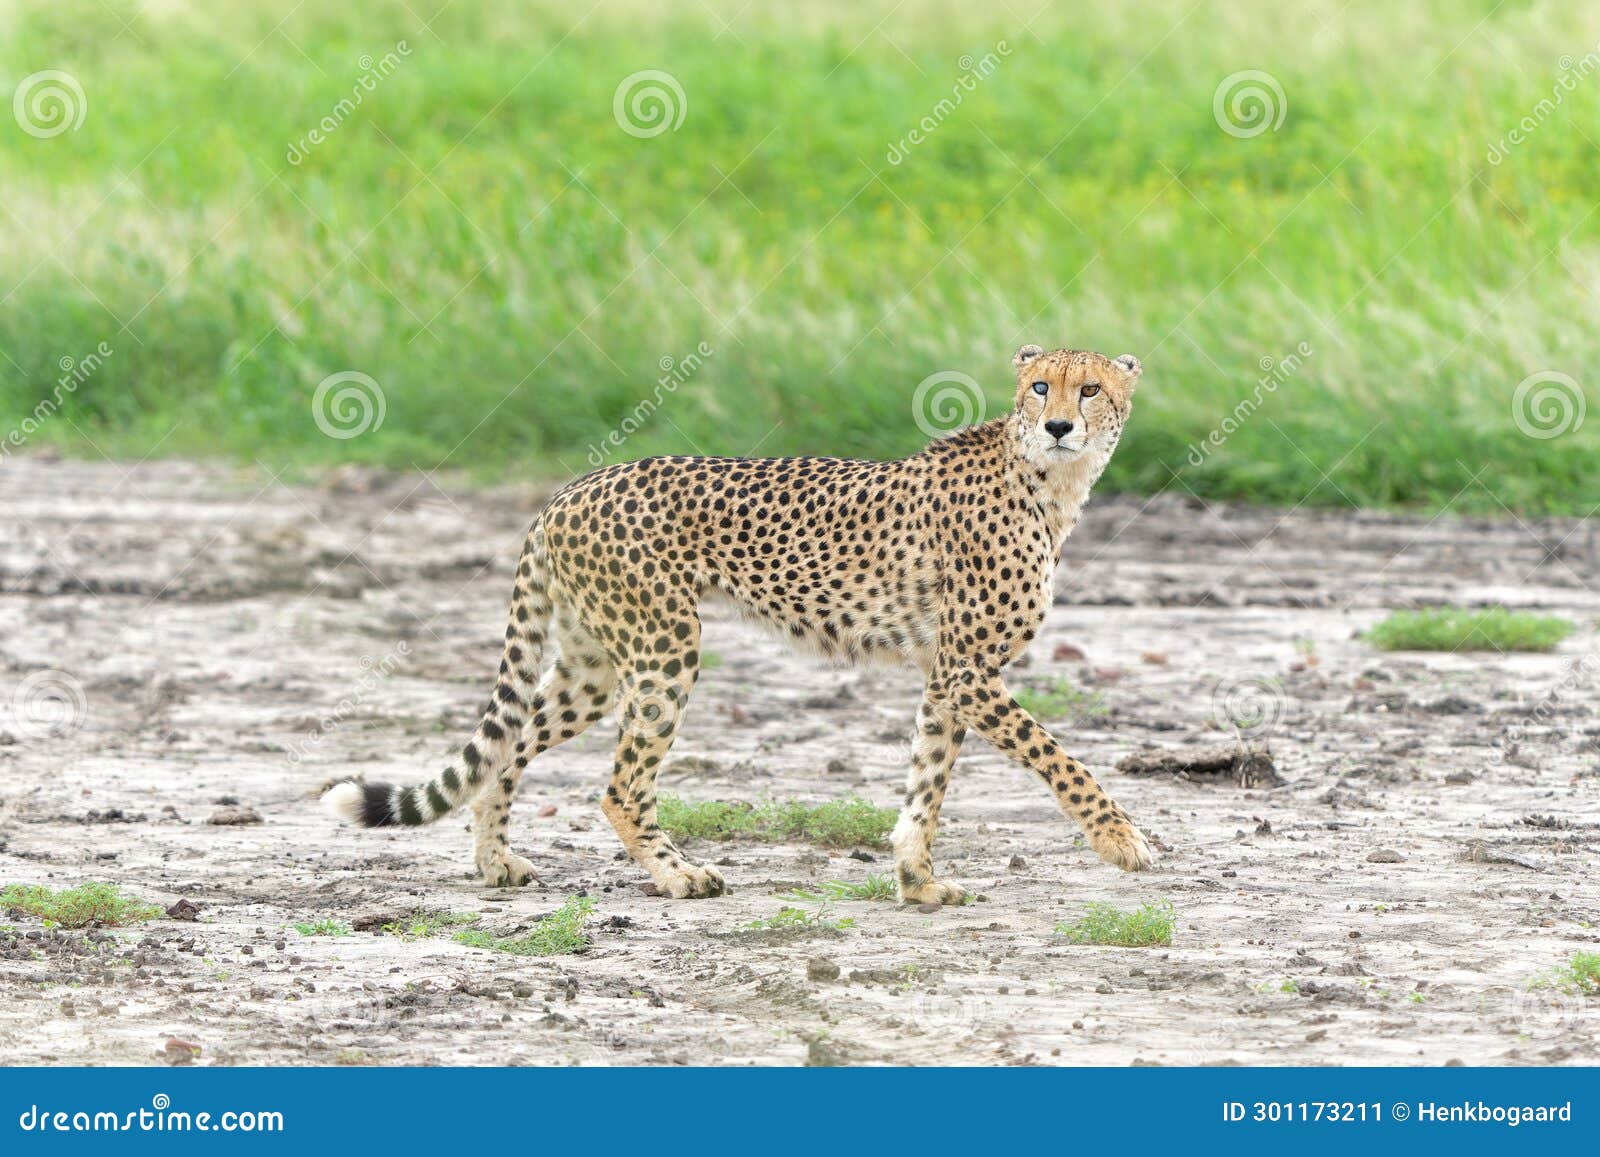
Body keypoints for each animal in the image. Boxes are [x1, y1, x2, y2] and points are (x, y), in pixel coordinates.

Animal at [322, 344, 1153, 901]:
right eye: (1041, 386)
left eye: (1091, 389)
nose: (1058, 425)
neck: (1048, 482)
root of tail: (572, 487)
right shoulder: (968, 671)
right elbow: (1059, 757)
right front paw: (1121, 839)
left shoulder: (946, 674)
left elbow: (928, 780)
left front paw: (916, 878)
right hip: (665, 647)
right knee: (620, 787)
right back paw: (679, 875)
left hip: (593, 665)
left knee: (508, 747)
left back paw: (495, 862)